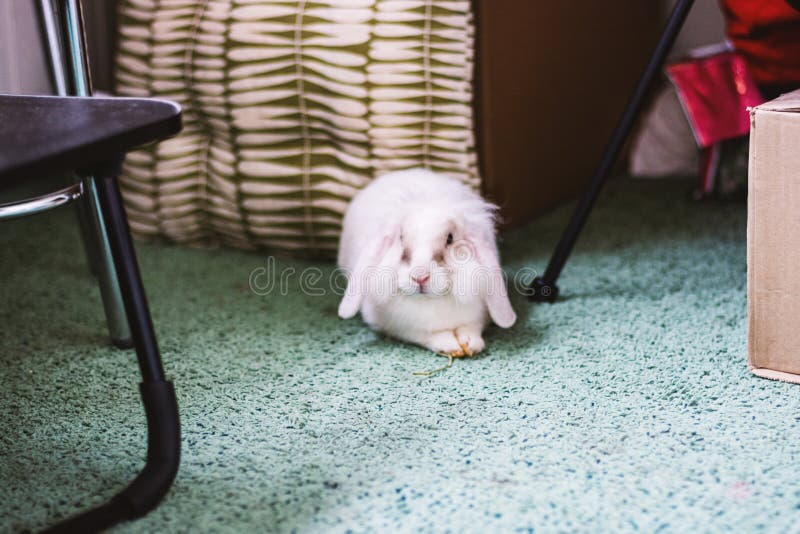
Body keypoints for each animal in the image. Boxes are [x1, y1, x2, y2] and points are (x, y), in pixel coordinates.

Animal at [337, 168, 516, 356]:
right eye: (401, 238)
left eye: (450, 238)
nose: (420, 277)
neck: (430, 301)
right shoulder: (400, 328)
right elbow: (427, 335)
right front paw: (451, 346)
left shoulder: (480, 315)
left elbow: (471, 327)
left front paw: (470, 343)